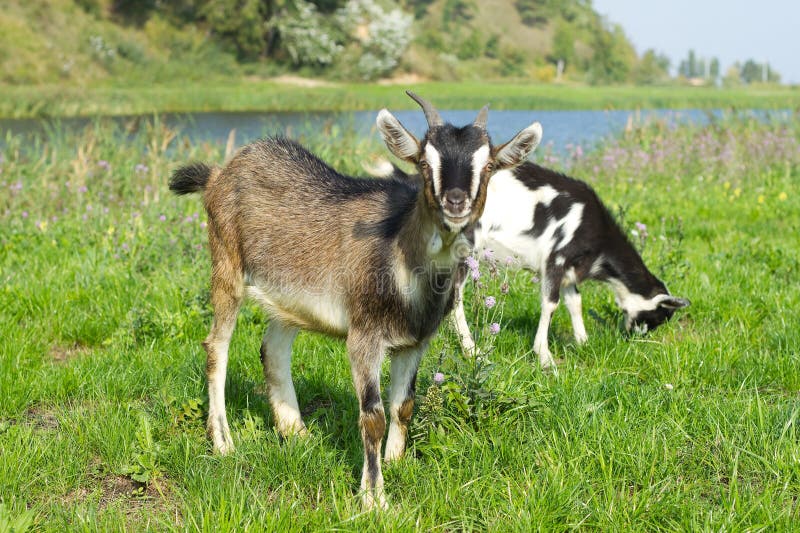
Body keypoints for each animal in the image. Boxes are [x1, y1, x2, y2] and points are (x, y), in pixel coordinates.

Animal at [168, 92, 543, 509]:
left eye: (488, 165)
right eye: (424, 162)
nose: (455, 200)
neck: (401, 256)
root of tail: (220, 172)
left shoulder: (415, 342)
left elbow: (404, 406)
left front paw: (396, 464)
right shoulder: (364, 336)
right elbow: (373, 417)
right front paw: (375, 499)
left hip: (287, 295)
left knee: (273, 349)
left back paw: (297, 432)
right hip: (226, 264)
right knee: (216, 347)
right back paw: (223, 442)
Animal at [372, 160, 690, 370]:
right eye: (658, 317)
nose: (633, 338)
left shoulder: (570, 269)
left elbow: (575, 302)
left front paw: (583, 341)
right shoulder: (556, 257)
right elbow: (550, 304)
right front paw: (544, 356)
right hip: (462, 245)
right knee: (455, 296)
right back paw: (472, 350)